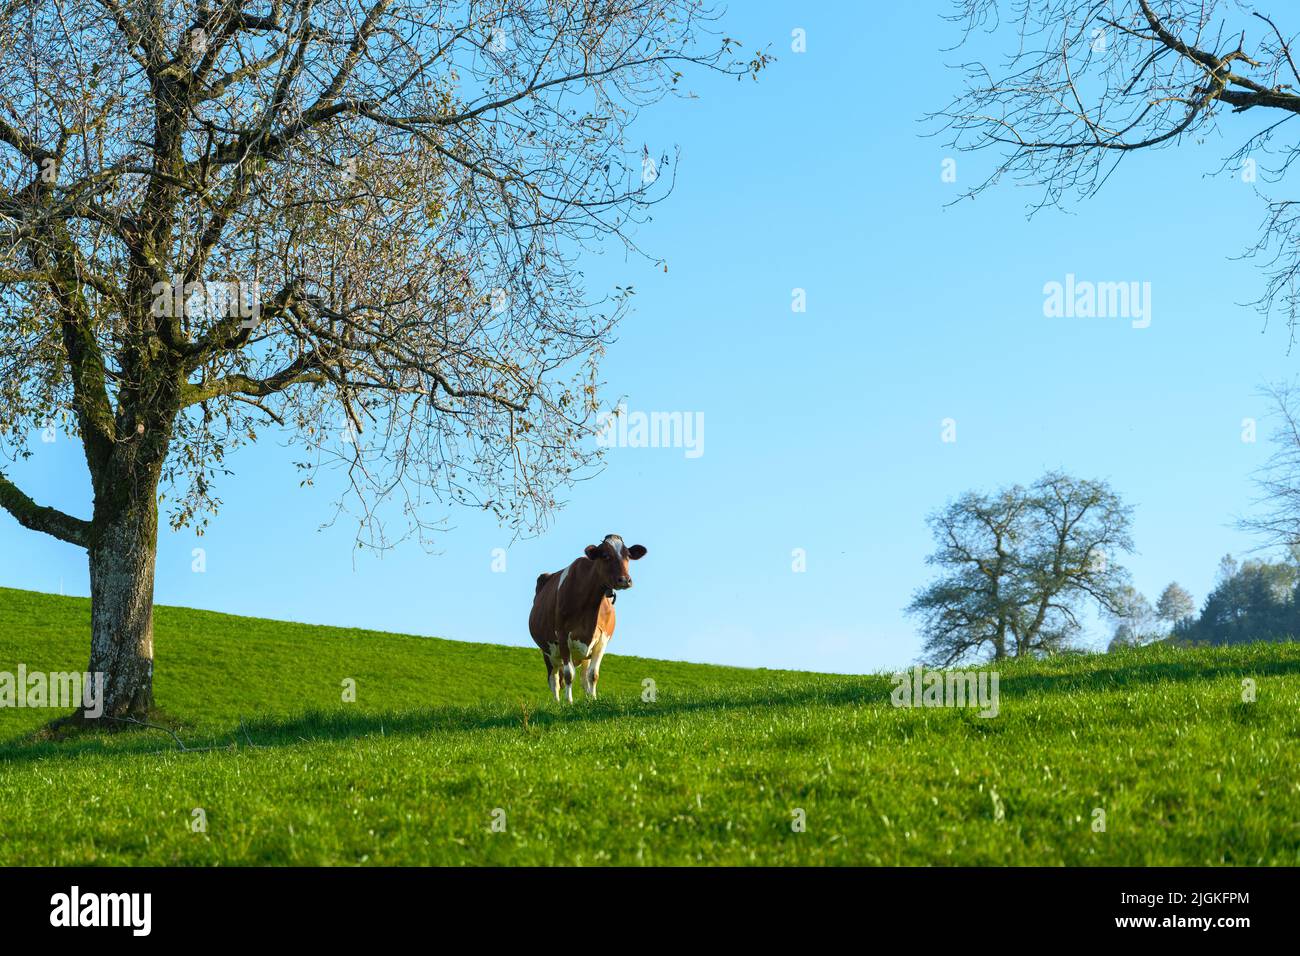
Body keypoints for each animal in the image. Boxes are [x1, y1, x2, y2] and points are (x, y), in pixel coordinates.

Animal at [529, 533, 647, 703]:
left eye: (628, 555)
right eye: (605, 556)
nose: (625, 580)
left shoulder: (602, 639)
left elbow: (593, 675)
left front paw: (593, 700)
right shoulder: (563, 636)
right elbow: (568, 674)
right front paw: (569, 702)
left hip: (583, 655)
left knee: (583, 677)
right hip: (547, 651)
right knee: (554, 680)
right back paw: (557, 703)